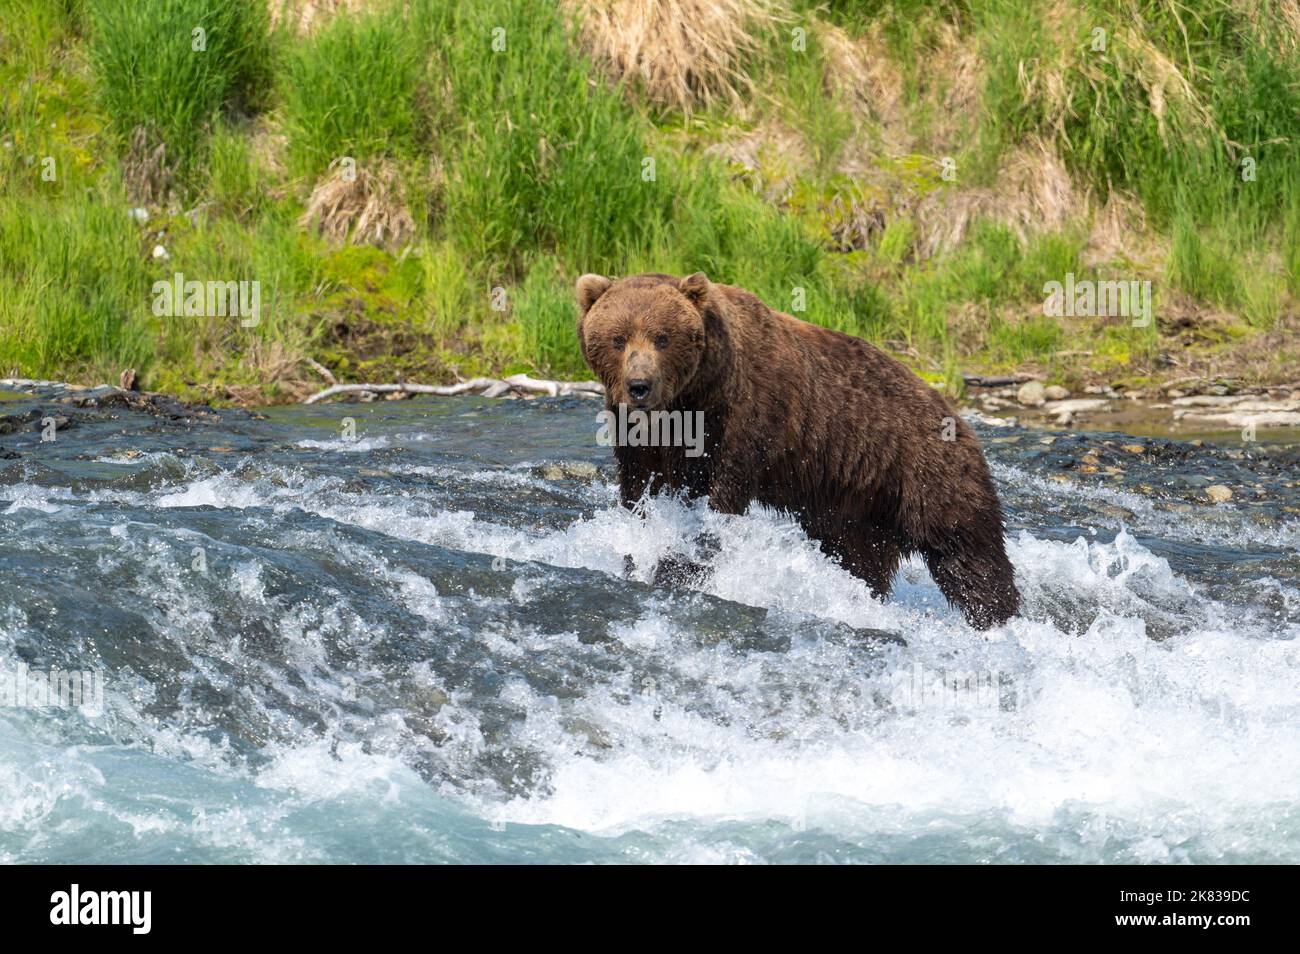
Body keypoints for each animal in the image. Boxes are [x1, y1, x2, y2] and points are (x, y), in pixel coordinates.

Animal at [575, 271, 1021, 629]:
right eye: (618, 338)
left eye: (662, 338)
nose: (639, 386)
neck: (688, 404)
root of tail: (958, 417)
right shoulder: (639, 441)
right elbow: (639, 497)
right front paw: (636, 557)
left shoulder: (741, 419)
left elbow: (715, 502)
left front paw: (679, 570)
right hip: (855, 504)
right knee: (860, 558)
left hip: (926, 471)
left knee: (967, 552)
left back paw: (997, 617)